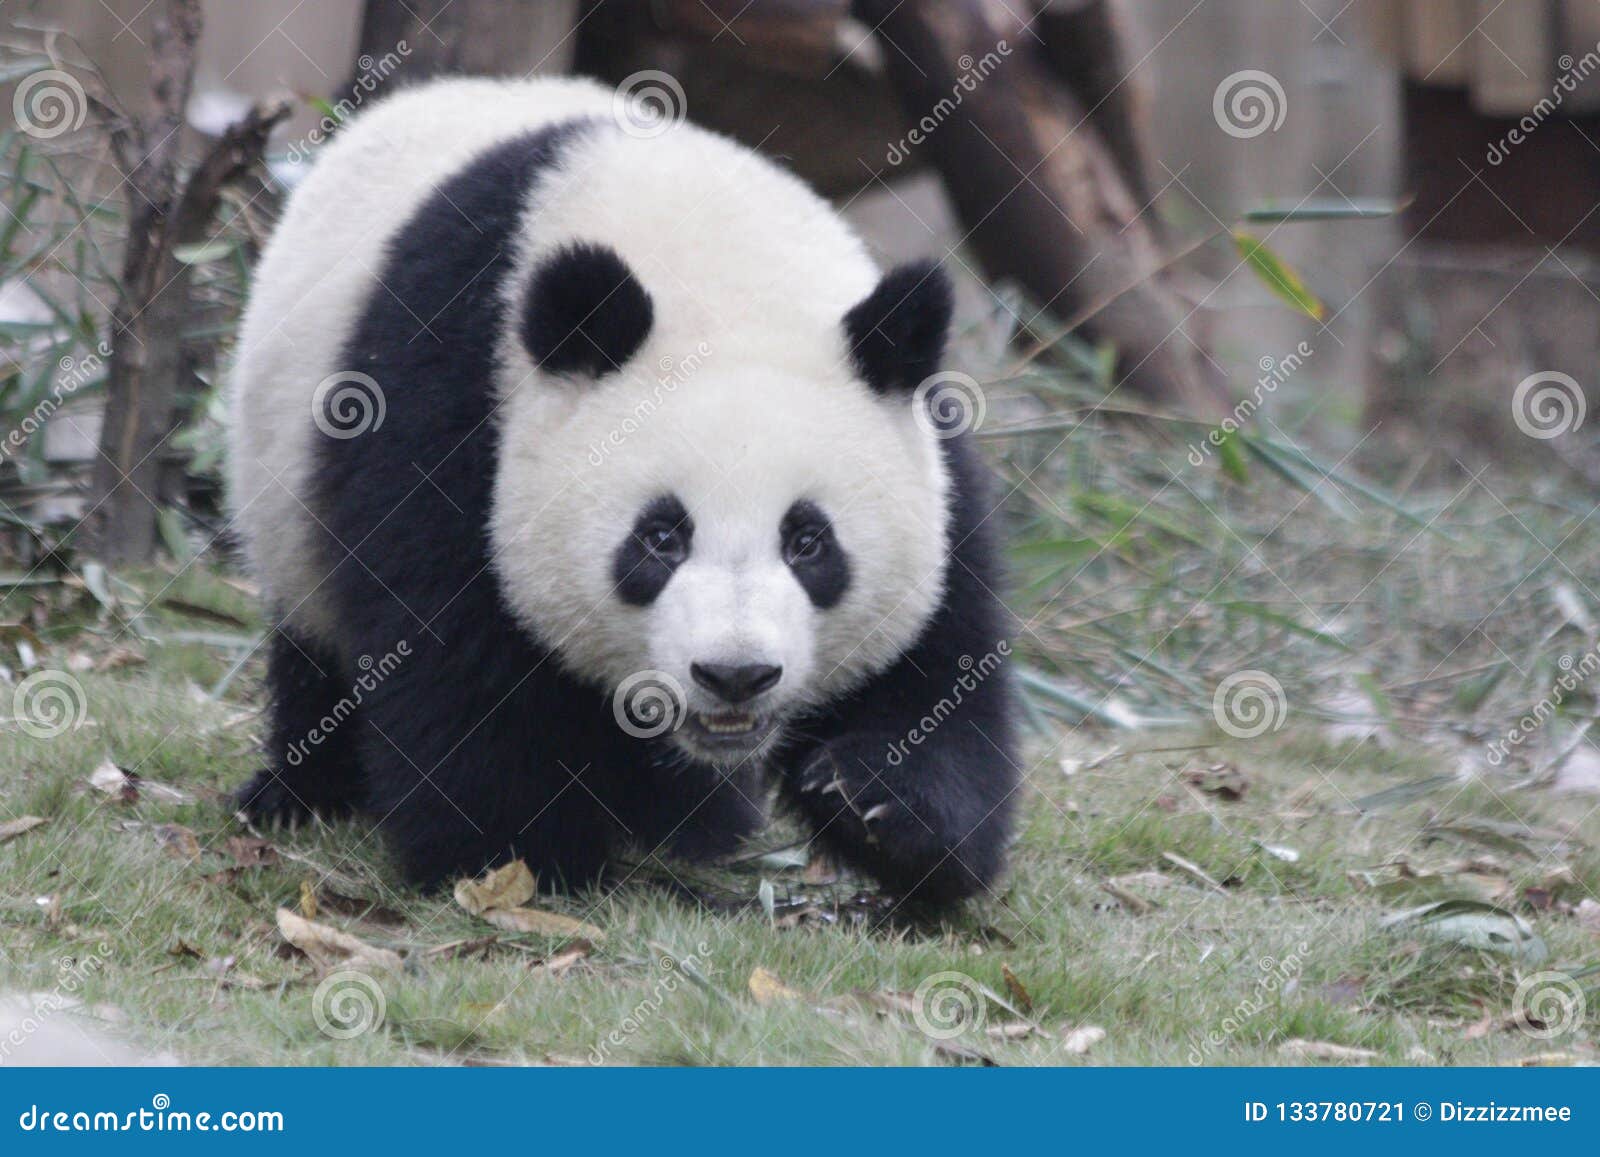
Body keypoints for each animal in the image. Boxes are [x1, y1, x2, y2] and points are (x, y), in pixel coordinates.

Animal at [228, 77, 1017, 904]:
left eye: (809, 540)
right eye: (661, 536)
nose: (735, 675)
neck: (719, 273)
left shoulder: (929, 446)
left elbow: (943, 658)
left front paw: (878, 804)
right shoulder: (452, 395)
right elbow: (452, 648)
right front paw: (514, 854)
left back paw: (695, 823)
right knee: (314, 645)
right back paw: (300, 792)